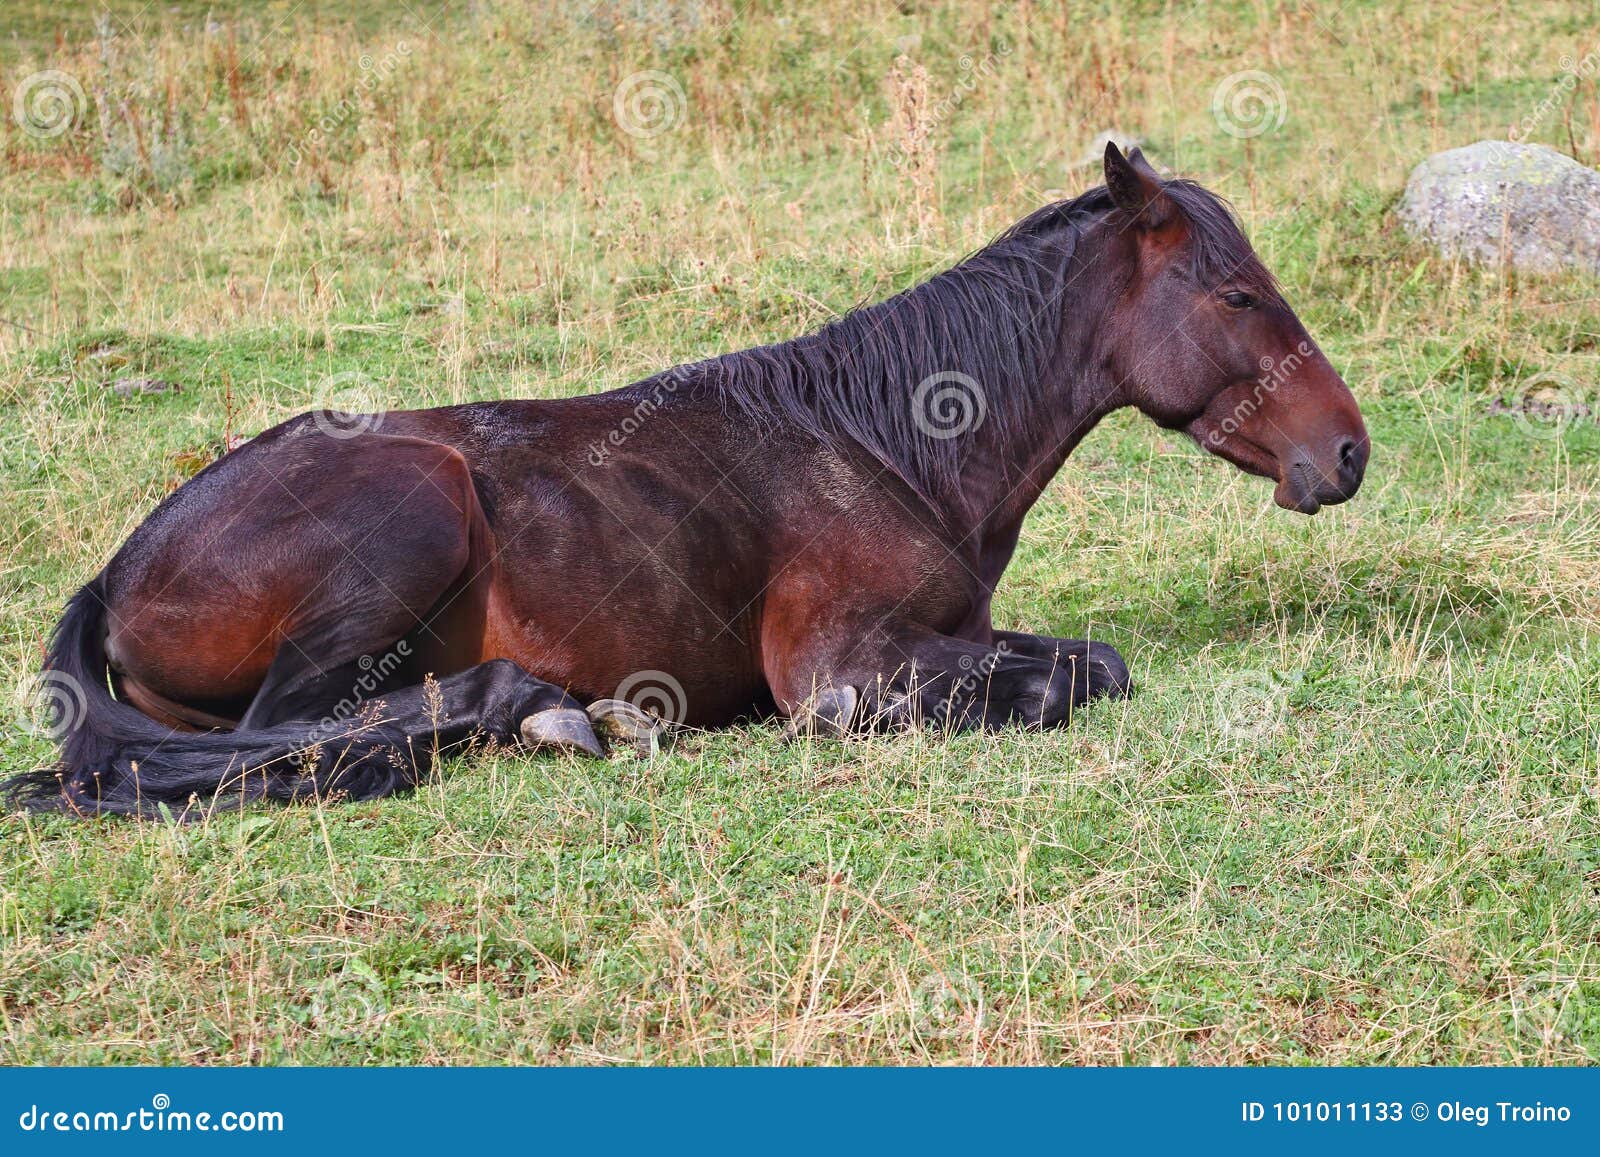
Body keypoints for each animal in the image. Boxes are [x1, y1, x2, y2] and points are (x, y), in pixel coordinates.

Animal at [8, 145, 1368, 817]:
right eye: (1235, 297)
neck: (887, 443)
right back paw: (542, 709)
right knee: (289, 727)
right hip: (408, 515)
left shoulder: (958, 632)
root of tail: (117, 571)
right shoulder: (839, 663)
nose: (1347, 450)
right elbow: (1065, 681)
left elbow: (1088, 660)